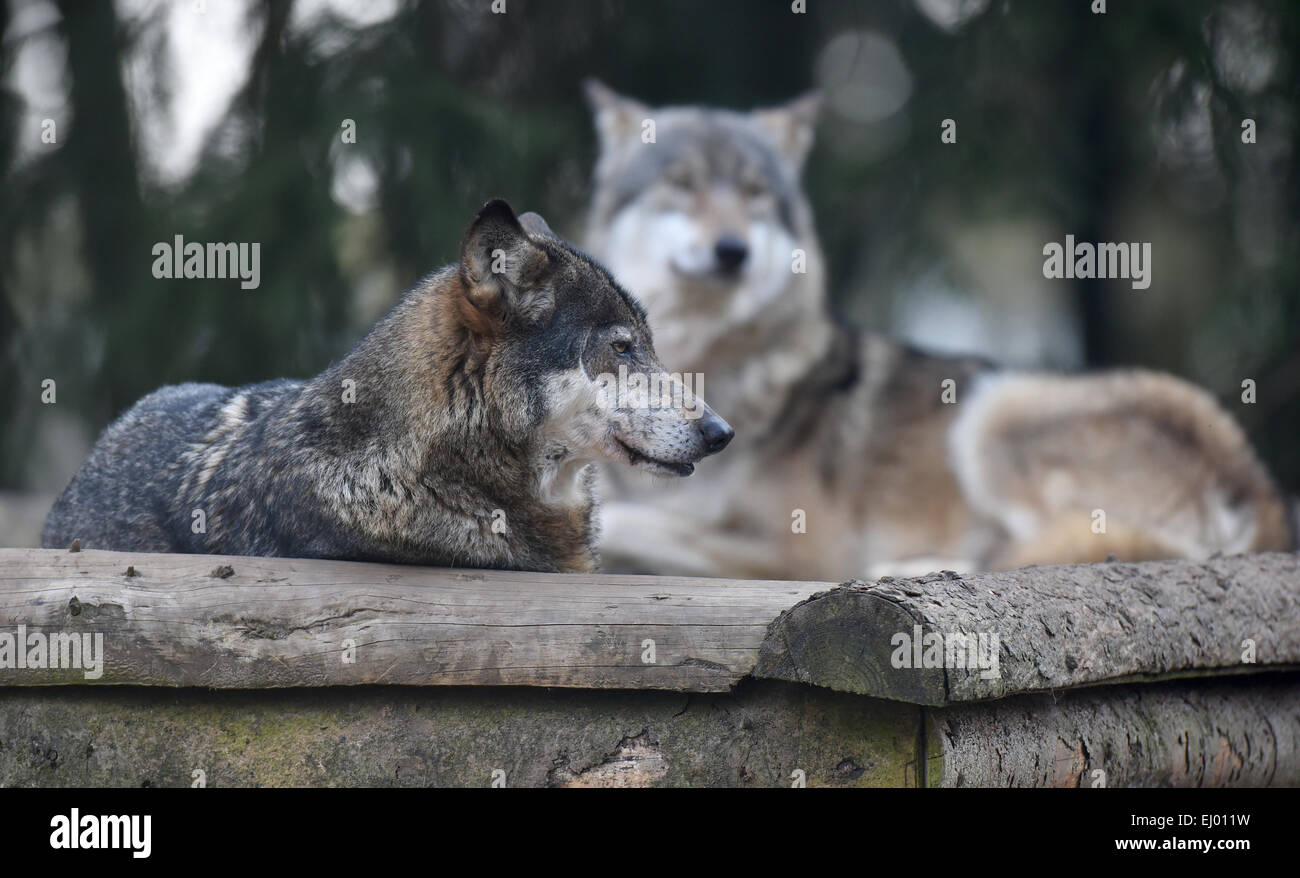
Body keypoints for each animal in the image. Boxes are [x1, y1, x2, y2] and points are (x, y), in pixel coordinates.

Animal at [582, 81, 1294, 580]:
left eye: (756, 194)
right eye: (682, 185)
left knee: (1090, 552)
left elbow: (624, 518)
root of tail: (1264, 496)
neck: (714, 356)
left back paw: (914, 569)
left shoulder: (797, 550)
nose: (733, 250)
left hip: (995, 412)